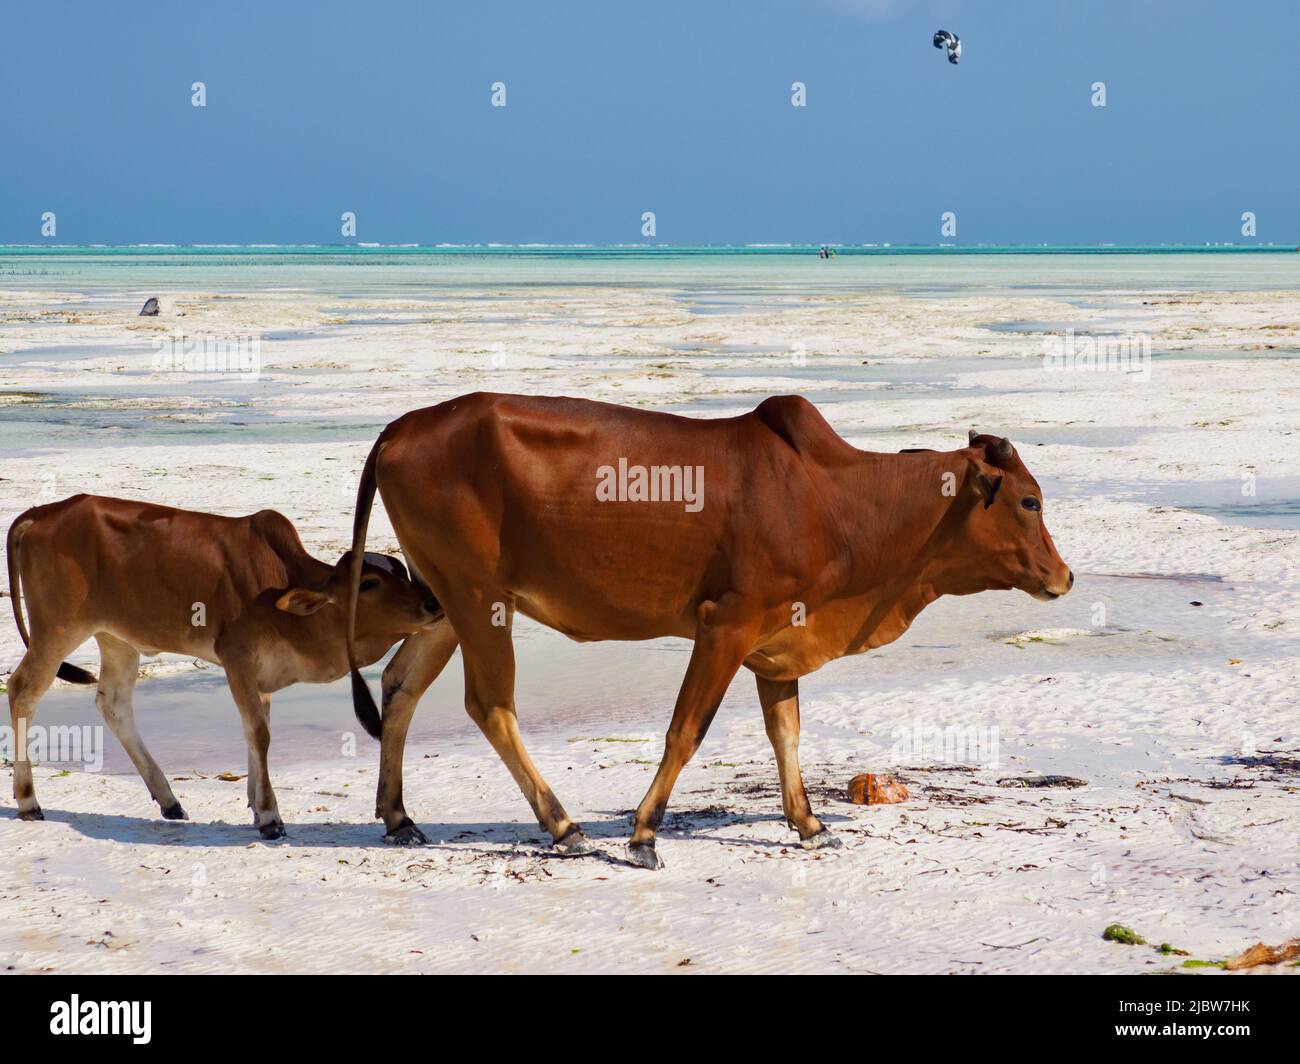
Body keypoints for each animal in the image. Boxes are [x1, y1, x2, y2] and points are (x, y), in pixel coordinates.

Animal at [6, 495, 442, 836]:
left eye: (401, 572)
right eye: (368, 584)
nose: (432, 602)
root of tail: (41, 513)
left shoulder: (260, 675)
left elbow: (254, 733)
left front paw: (255, 803)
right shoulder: (237, 659)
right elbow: (260, 734)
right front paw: (269, 816)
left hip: (117, 638)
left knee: (112, 704)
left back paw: (169, 800)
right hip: (58, 629)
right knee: (22, 690)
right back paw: (28, 802)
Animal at [344, 393, 1073, 868]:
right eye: (1029, 500)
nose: (1064, 577)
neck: (836, 501)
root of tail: (401, 427)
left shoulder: (778, 645)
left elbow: (786, 736)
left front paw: (810, 823)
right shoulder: (726, 624)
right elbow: (685, 731)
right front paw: (643, 835)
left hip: (446, 601)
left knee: (401, 685)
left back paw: (400, 818)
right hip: (479, 598)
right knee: (490, 705)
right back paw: (565, 827)